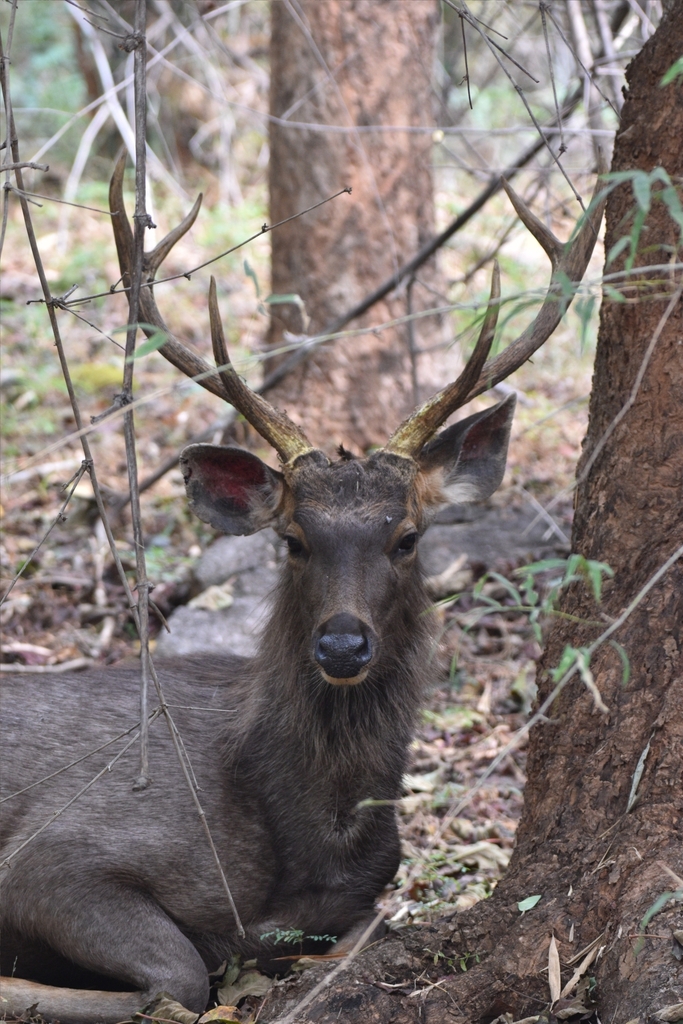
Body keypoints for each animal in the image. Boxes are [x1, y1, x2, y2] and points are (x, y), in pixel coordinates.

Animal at [0, 157, 605, 1024]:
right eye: (291, 539)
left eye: (406, 537)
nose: (343, 642)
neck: (302, 843)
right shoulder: (52, 851)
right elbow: (180, 979)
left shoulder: (361, 899)